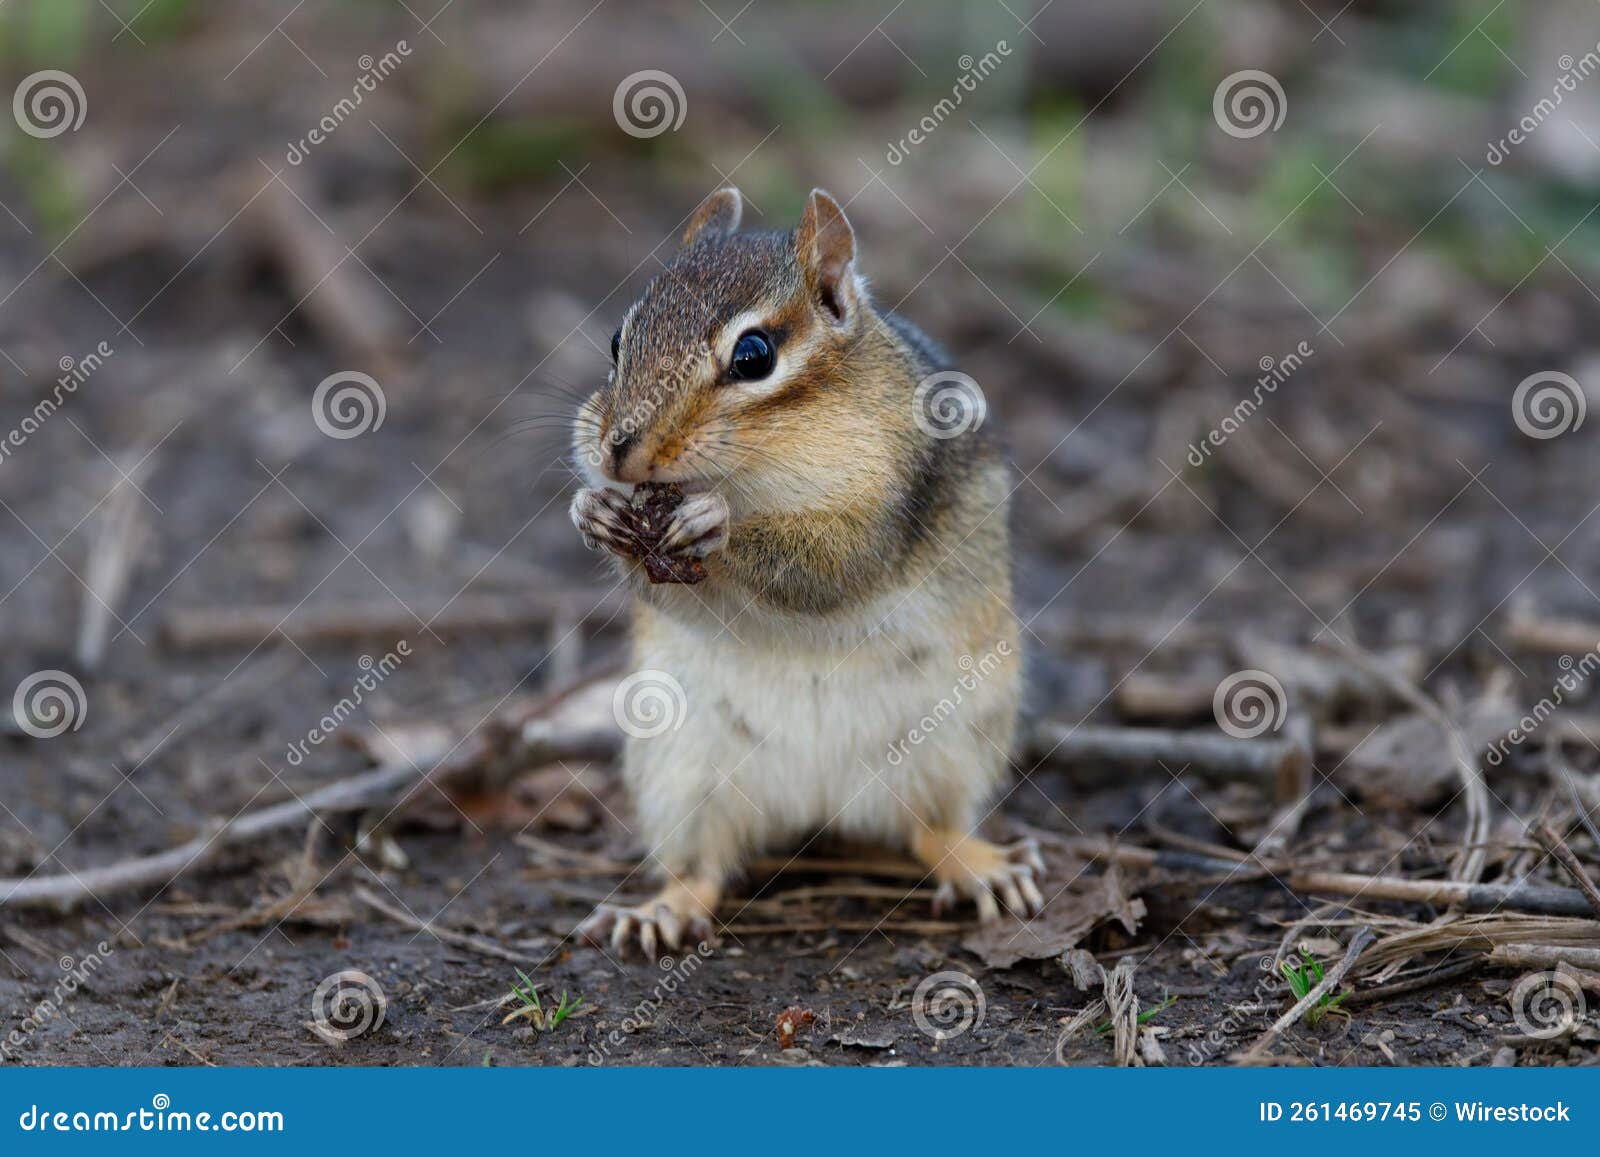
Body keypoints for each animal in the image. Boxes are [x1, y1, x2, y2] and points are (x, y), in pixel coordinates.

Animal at [568, 186, 1038, 956]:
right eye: (616, 340)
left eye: (754, 355)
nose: (617, 452)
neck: (756, 469)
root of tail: (823, 803)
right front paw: (594, 510)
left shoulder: (887, 500)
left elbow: (831, 564)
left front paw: (716, 526)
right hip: (678, 771)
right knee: (704, 867)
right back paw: (662, 910)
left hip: (958, 743)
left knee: (931, 829)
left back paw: (980, 866)